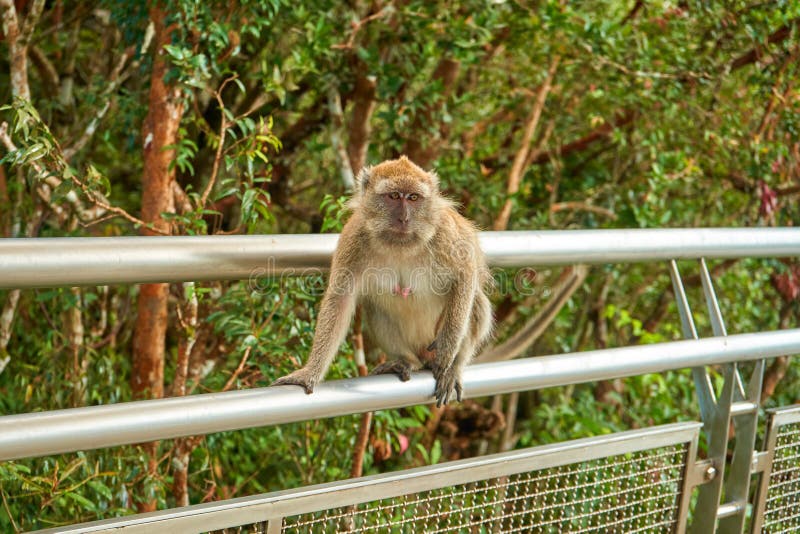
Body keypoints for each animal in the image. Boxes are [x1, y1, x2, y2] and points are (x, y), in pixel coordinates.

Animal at [272, 156, 493, 406]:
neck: (400, 243)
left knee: (476, 302)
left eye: (413, 198)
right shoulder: (353, 238)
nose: (404, 218)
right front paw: (309, 373)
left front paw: (448, 345)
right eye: (394, 196)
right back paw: (407, 362)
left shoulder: (444, 232)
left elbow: (466, 272)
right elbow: (340, 300)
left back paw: (455, 367)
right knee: (375, 311)